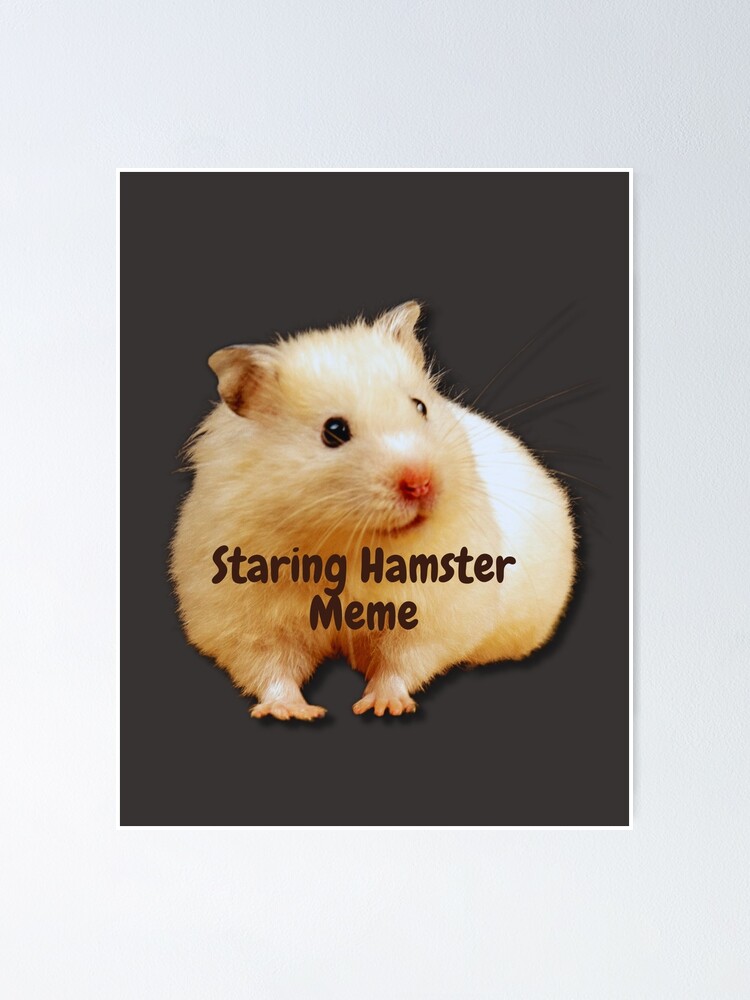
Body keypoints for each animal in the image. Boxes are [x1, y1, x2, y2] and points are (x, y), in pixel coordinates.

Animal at [170, 302, 576, 720]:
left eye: (420, 406)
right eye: (334, 431)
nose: (421, 484)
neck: (348, 545)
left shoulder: (433, 612)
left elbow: (401, 662)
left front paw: (384, 706)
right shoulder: (244, 615)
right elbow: (270, 666)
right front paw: (295, 712)